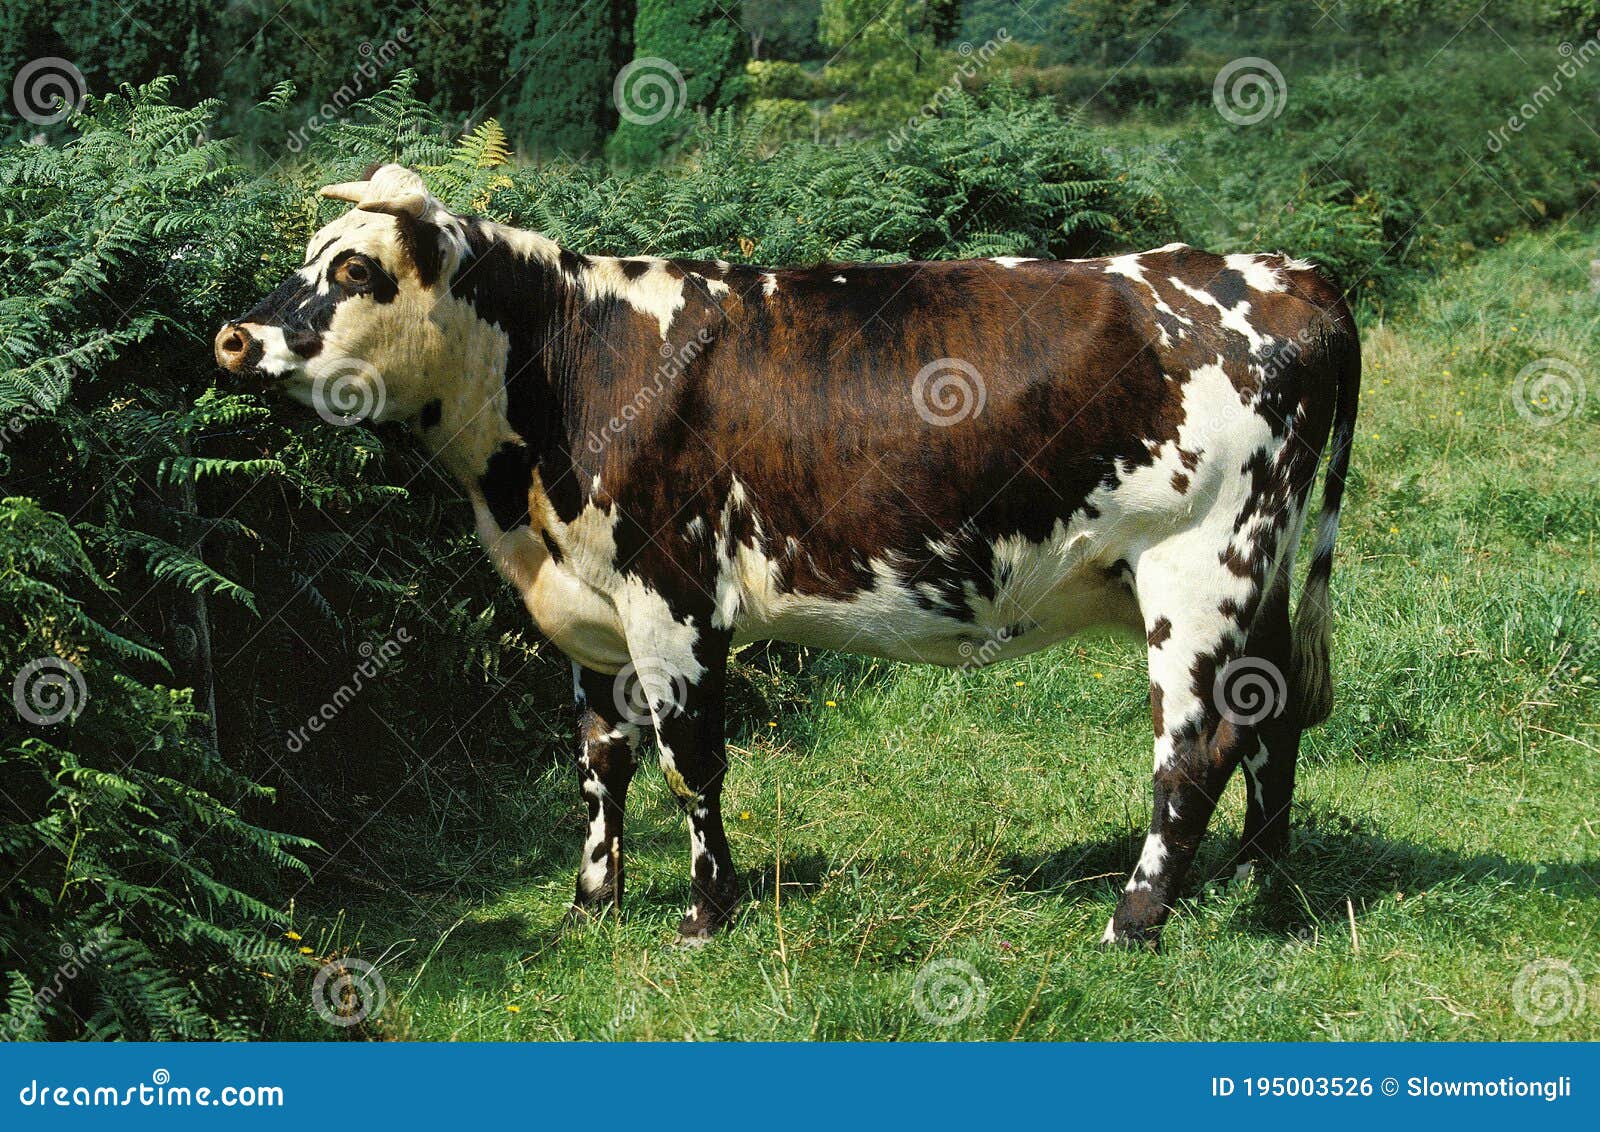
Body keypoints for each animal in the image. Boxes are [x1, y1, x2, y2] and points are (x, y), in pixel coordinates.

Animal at [214, 164, 1359, 948]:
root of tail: (1288, 270)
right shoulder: (590, 612)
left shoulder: (673, 592)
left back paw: (1135, 916)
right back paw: (1258, 881)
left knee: (1194, 749)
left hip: (1197, 569)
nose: (233, 337)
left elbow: (690, 761)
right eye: (307, 254)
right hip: (1253, 575)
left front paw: (704, 914)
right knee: (1268, 722)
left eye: (353, 269)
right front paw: (592, 905)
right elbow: (599, 763)